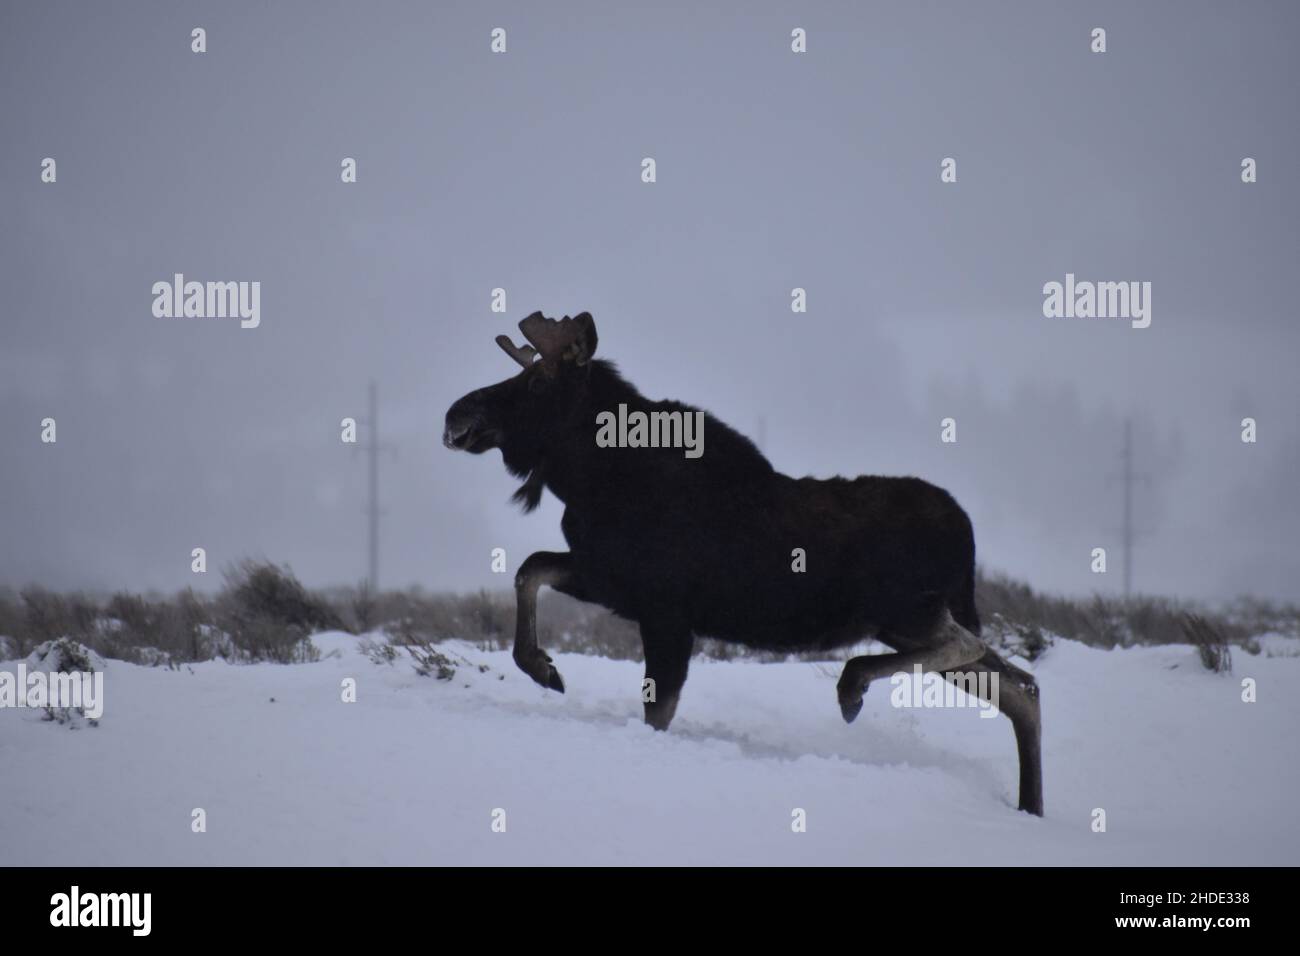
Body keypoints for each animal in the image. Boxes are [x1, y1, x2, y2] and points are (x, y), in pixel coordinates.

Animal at [443, 311, 1043, 815]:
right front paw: (544, 668)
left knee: (974, 649)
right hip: (907, 624)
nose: (456, 414)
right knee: (1023, 688)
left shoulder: (663, 610)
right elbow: (530, 568)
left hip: (908, 611)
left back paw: (852, 687)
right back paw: (1030, 807)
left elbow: (656, 710)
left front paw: (548, 671)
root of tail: (966, 530)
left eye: (538, 383)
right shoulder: (608, 581)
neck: (589, 480)